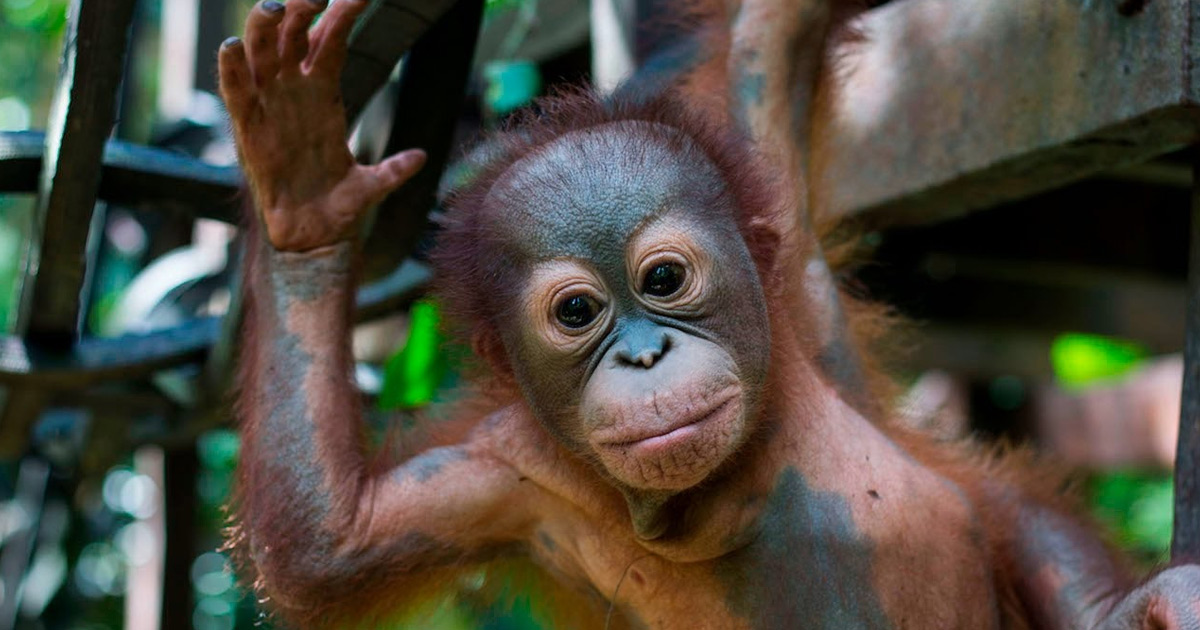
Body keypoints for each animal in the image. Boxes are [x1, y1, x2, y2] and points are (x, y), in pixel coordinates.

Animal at [217, 0, 1200, 627]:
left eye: (662, 280)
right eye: (578, 312)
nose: (644, 356)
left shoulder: (795, 293)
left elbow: (770, 43)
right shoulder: (504, 474)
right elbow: (330, 541)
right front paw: (305, 201)